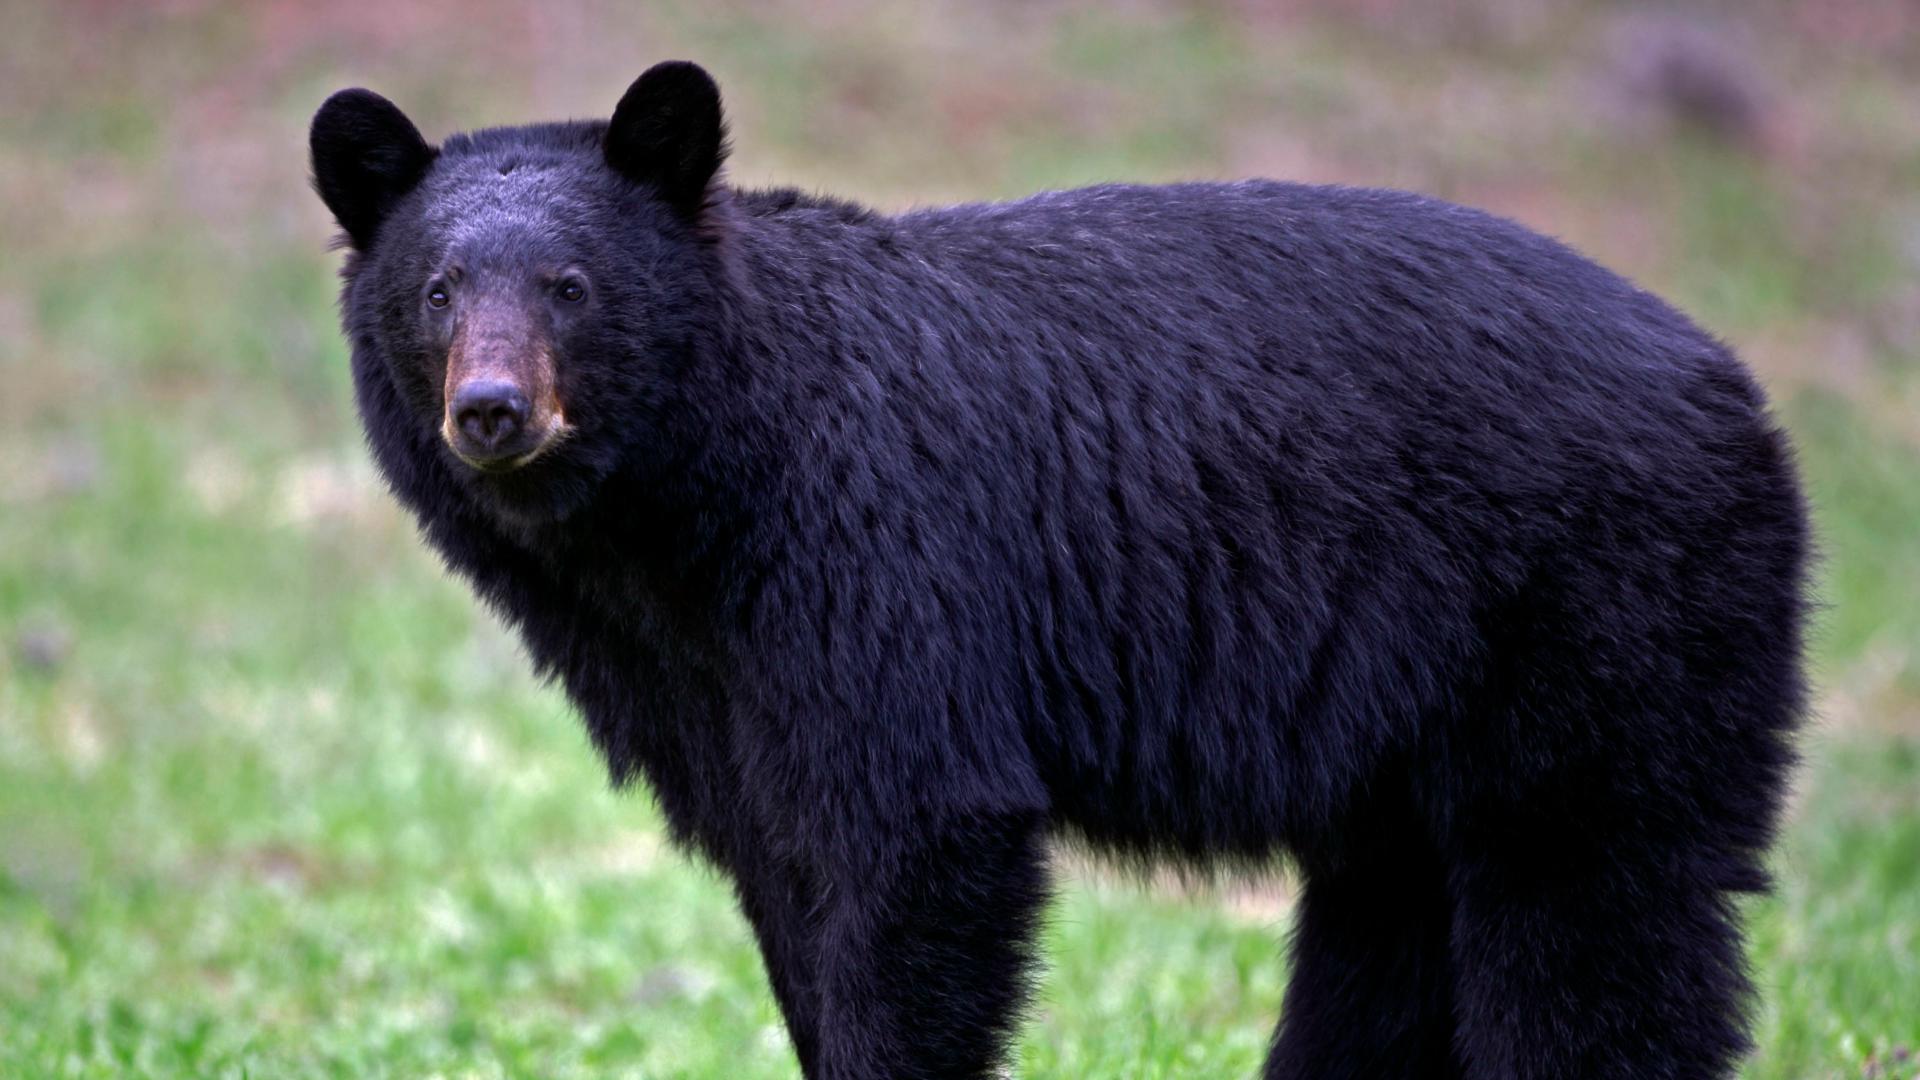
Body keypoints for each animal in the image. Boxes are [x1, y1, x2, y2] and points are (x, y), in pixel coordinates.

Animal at [309, 61, 1810, 1080]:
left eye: (570, 286)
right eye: (438, 290)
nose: (491, 411)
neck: (685, 511)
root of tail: (1741, 389)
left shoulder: (882, 558)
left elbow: (924, 833)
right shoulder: (699, 688)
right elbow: (783, 871)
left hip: (1604, 616)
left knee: (1595, 909)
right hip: (1422, 719)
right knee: (1389, 930)